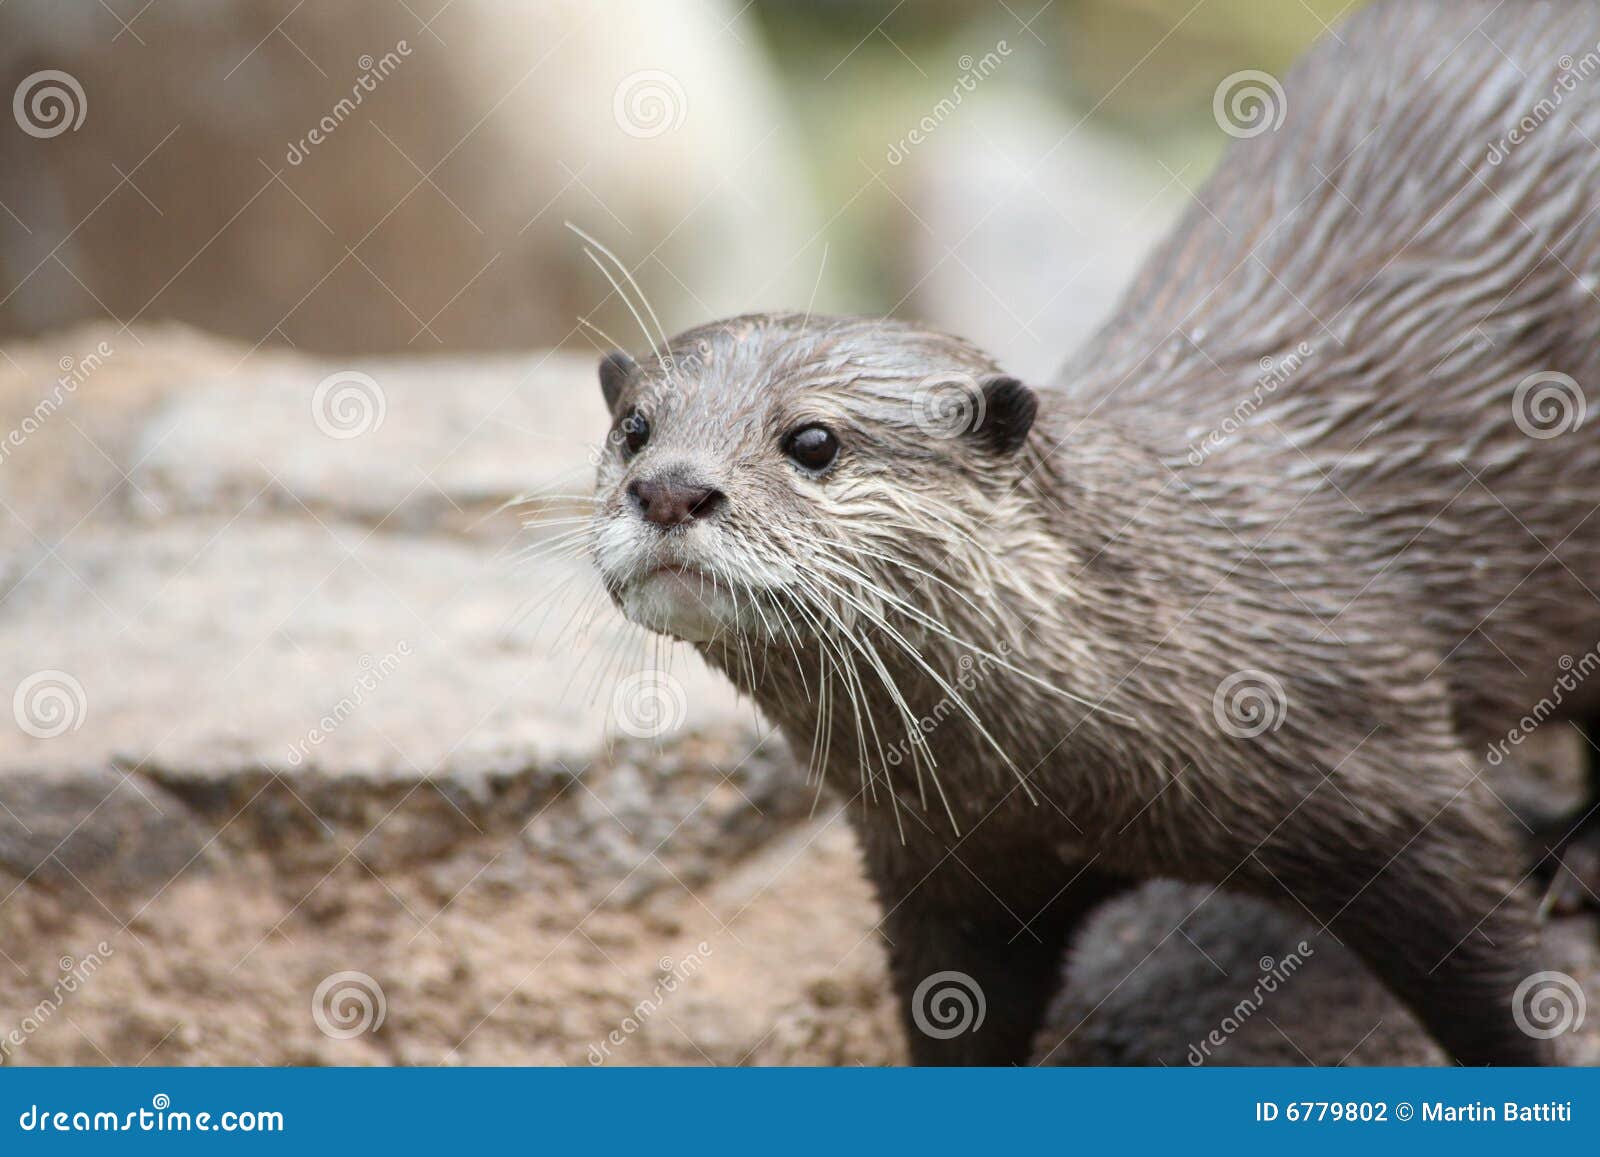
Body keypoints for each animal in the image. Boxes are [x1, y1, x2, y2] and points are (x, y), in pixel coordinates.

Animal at [584, 0, 1600, 1065]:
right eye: (635, 428)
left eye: (812, 439)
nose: (670, 489)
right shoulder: (944, 868)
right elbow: (956, 1008)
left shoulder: (1392, 773)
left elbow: (1493, 975)